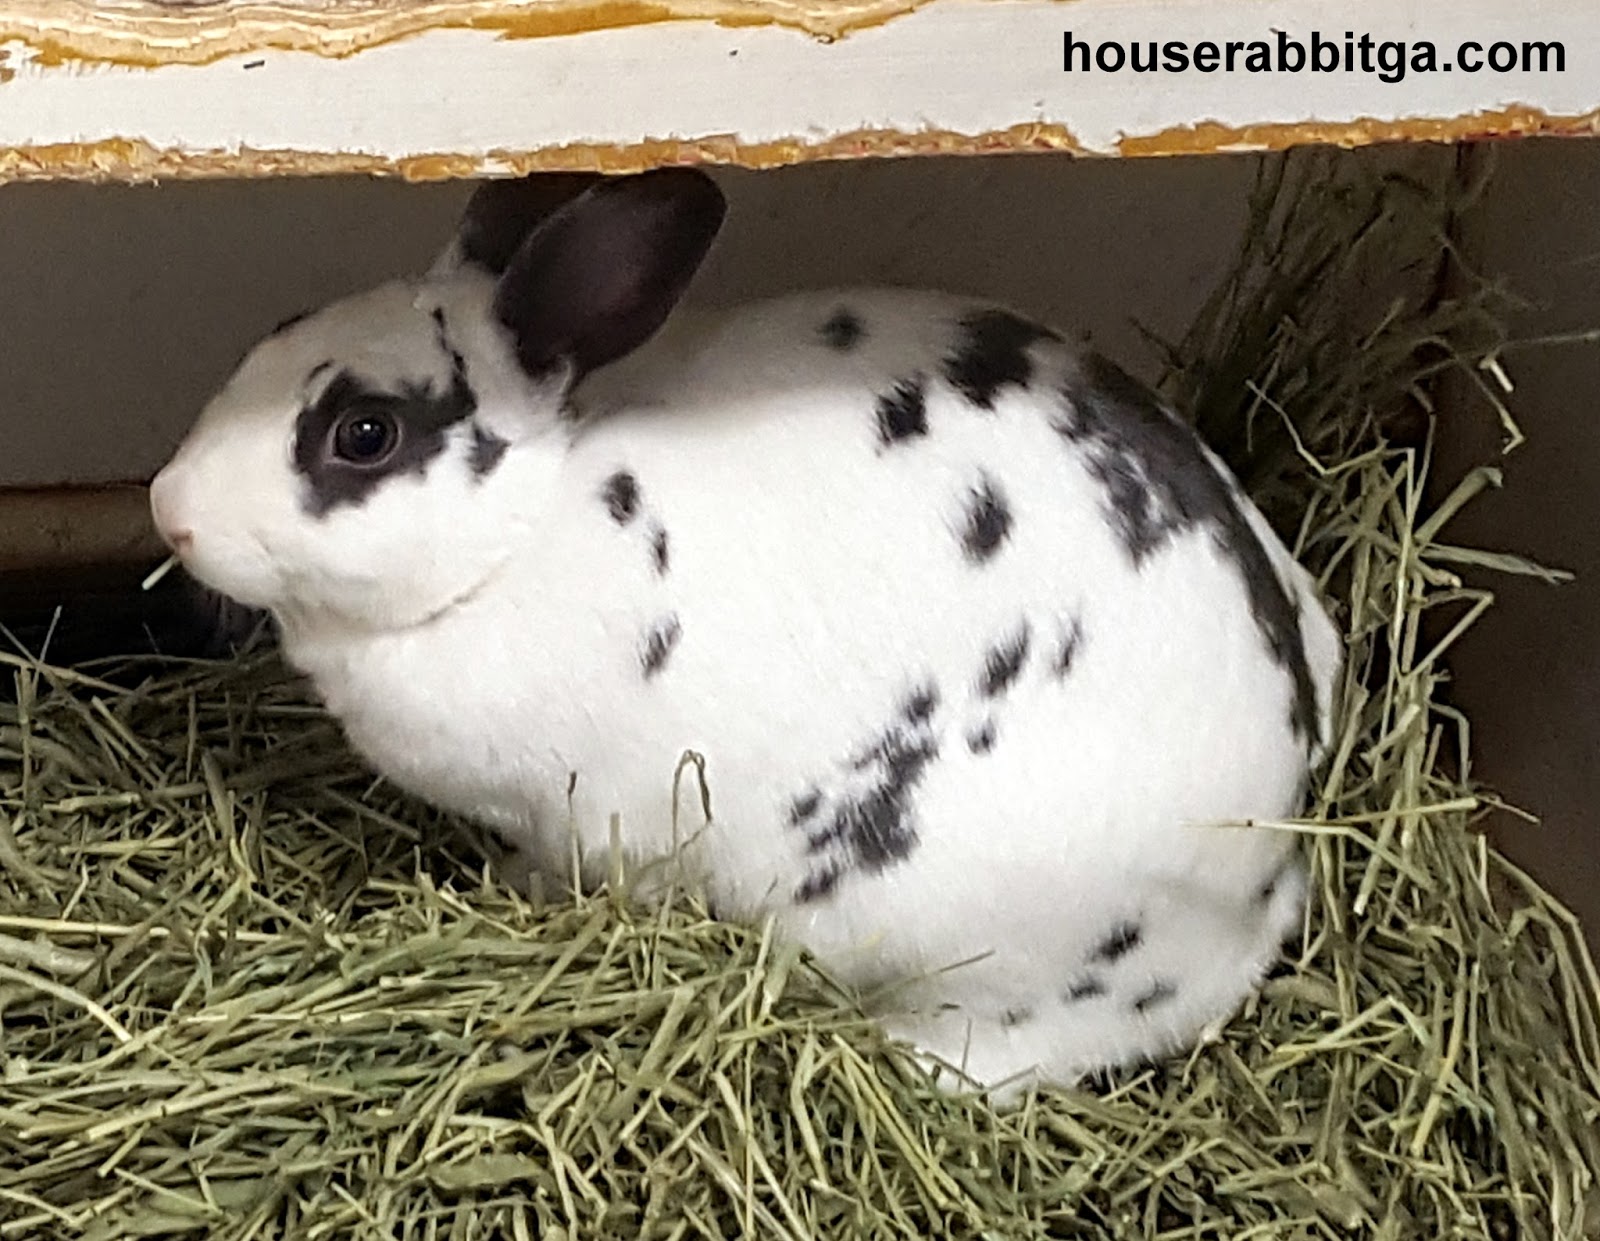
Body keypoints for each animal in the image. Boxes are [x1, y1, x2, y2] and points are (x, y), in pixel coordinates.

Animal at [148, 167, 1342, 1103]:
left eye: (365, 433)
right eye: (276, 329)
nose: (169, 509)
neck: (521, 532)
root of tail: (1259, 899)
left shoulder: (595, 826)